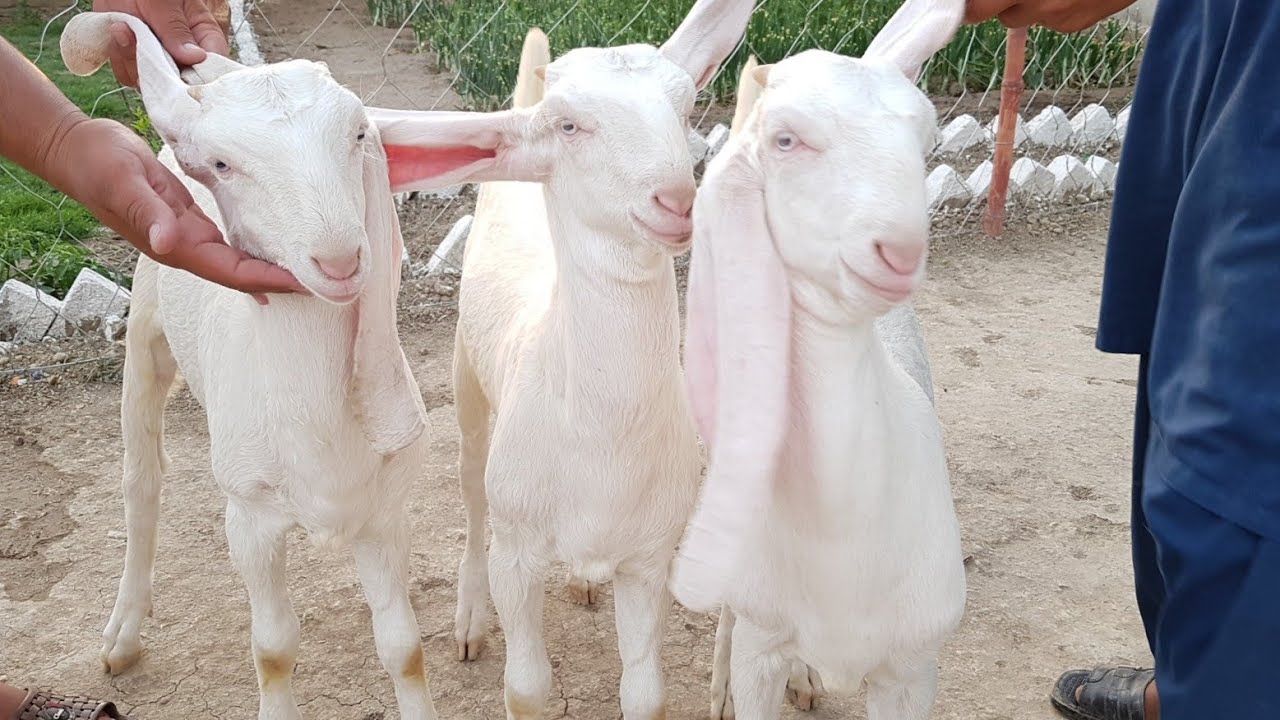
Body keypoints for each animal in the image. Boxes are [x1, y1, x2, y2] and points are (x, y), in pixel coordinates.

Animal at [62, 12, 533, 719]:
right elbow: (274, 649)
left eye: (359, 134)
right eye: (222, 164)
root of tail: (218, 69)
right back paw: (121, 636)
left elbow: (403, 648)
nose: (339, 259)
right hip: (146, 322)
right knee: (142, 481)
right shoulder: (251, 515)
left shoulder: (383, 512)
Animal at [370, 1, 753, 717]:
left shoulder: (651, 556)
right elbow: (526, 685)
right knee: (471, 495)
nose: (675, 201)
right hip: (468, 389)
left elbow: (646, 691)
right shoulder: (519, 548)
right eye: (570, 124)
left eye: (686, 104)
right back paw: (470, 621)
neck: (601, 451)